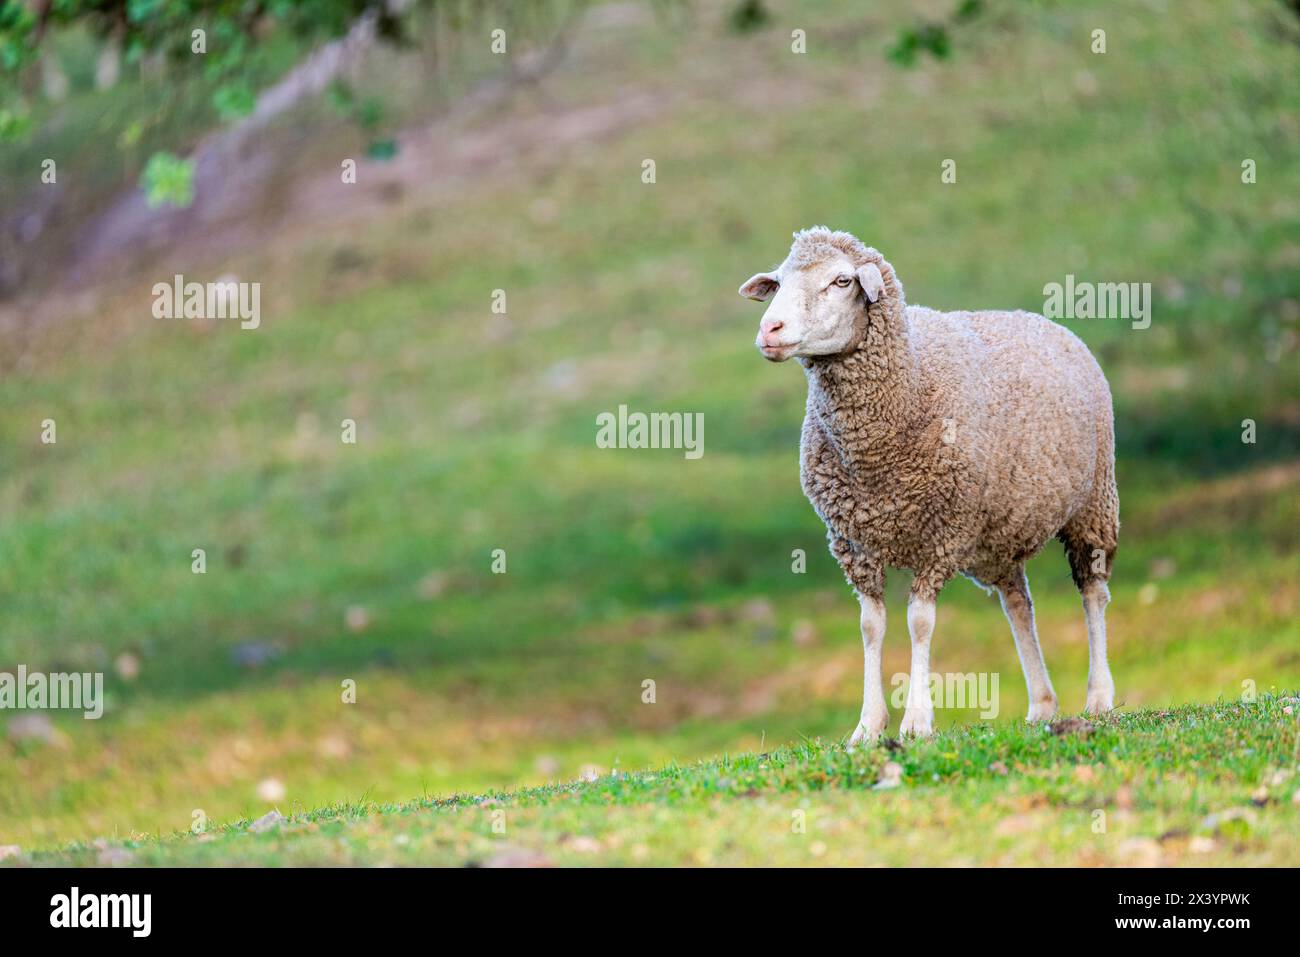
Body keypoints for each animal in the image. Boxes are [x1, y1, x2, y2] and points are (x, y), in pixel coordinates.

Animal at [739, 227, 1118, 743]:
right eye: (777, 282)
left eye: (841, 281)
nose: (769, 331)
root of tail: (1043, 321)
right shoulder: (853, 543)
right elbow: (870, 626)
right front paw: (868, 726)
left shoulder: (942, 533)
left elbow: (919, 622)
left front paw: (917, 720)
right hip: (996, 537)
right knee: (1019, 604)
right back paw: (1041, 705)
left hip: (1093, 503)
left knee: (1093, 593)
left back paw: (1099, 697)